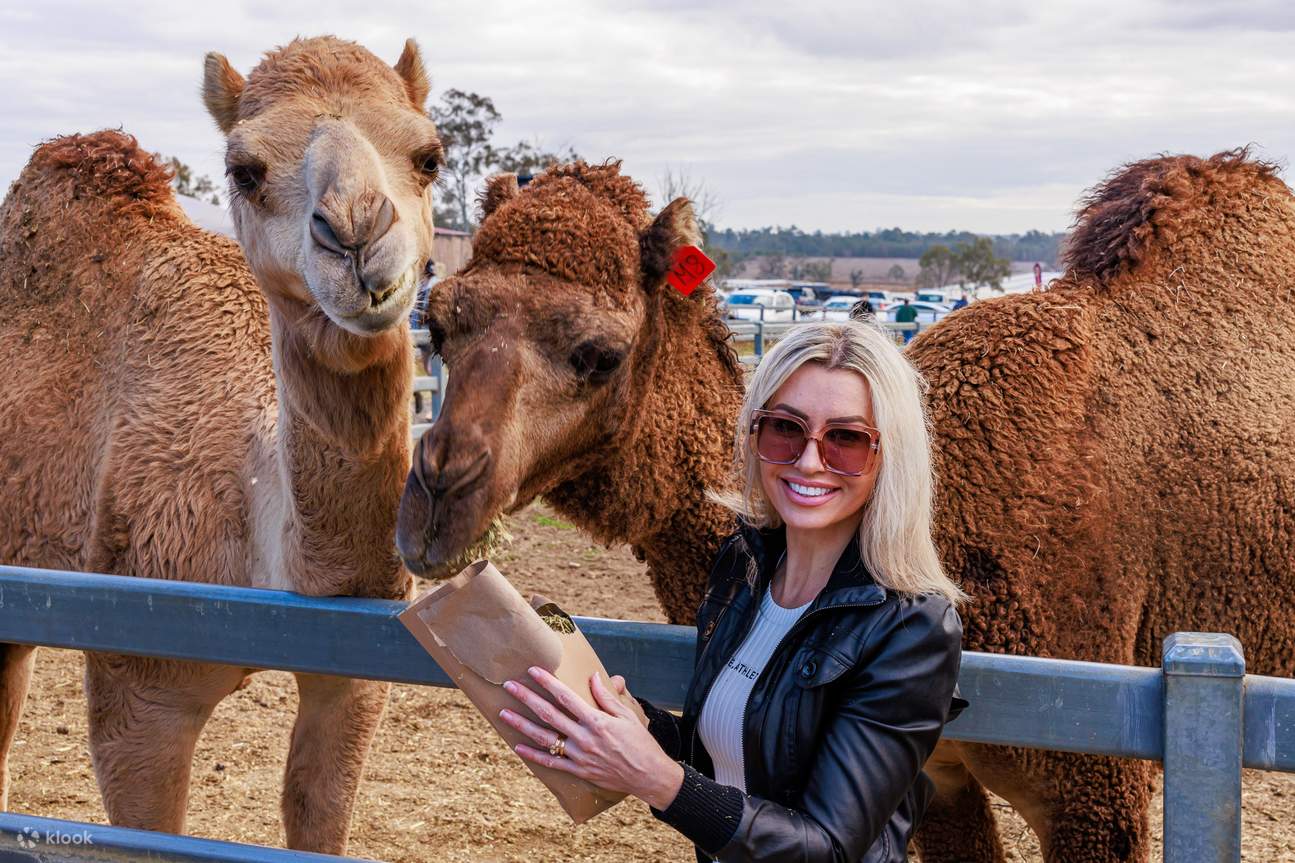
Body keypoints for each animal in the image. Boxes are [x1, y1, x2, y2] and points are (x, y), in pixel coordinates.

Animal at [0, 35, 439, 853]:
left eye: (429, 155)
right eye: (245, 169)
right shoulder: (142, 682)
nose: (358, 237)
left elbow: (317, 816)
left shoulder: (358, 671)